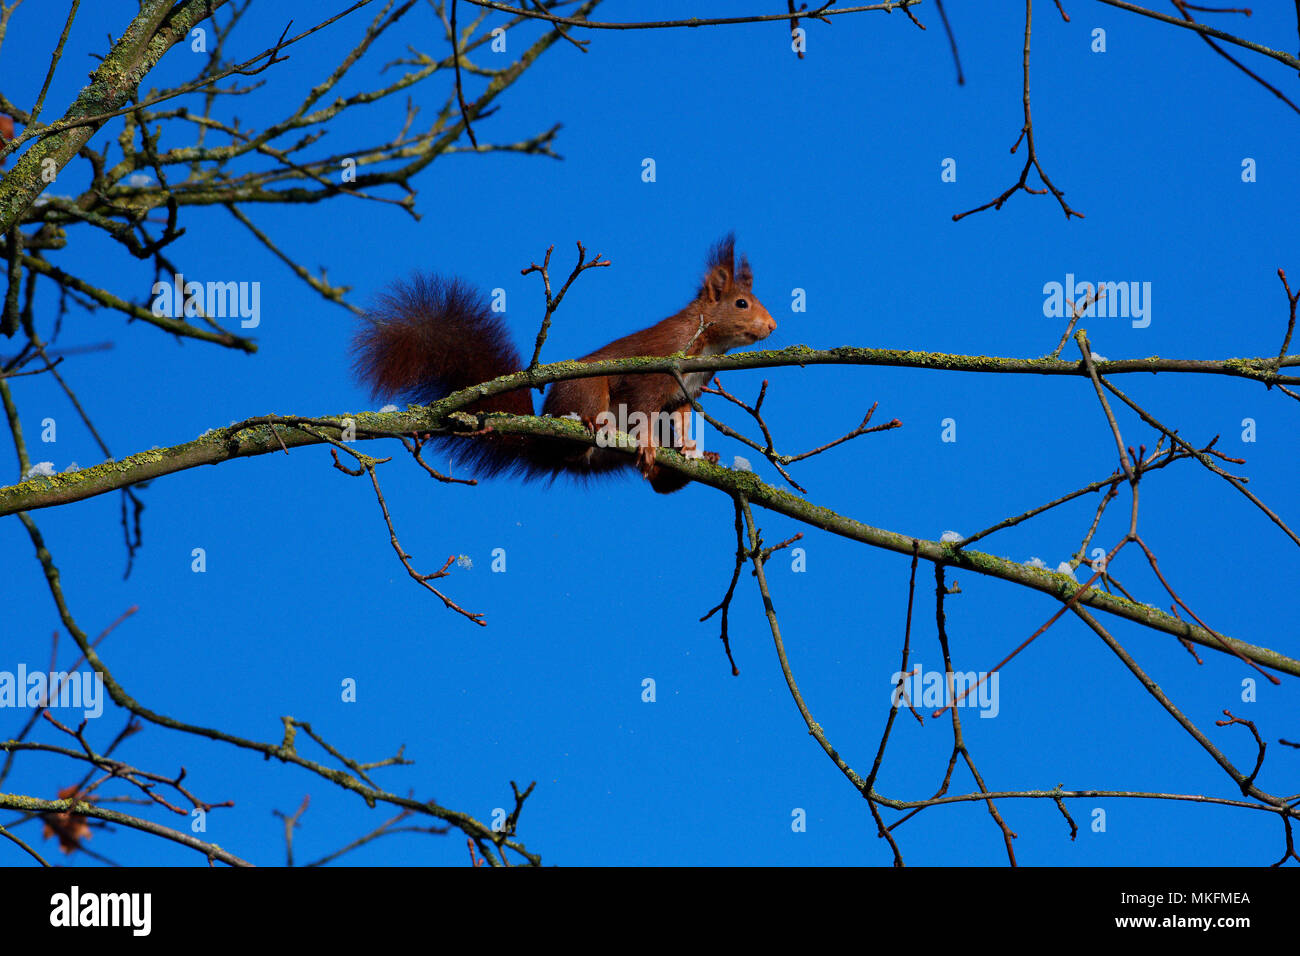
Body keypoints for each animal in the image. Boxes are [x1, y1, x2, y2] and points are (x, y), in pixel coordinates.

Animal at [352, 234, 777, 494]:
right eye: (741, 304)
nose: (772, 325)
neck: (706, 344)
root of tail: (542, 441)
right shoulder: (657, 367)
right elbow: (643, 403)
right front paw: (649, 443)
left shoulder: (686, 392)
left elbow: (684, 417)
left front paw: (692, 448)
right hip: (584, 389)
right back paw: (595, 424)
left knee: (658, 485)